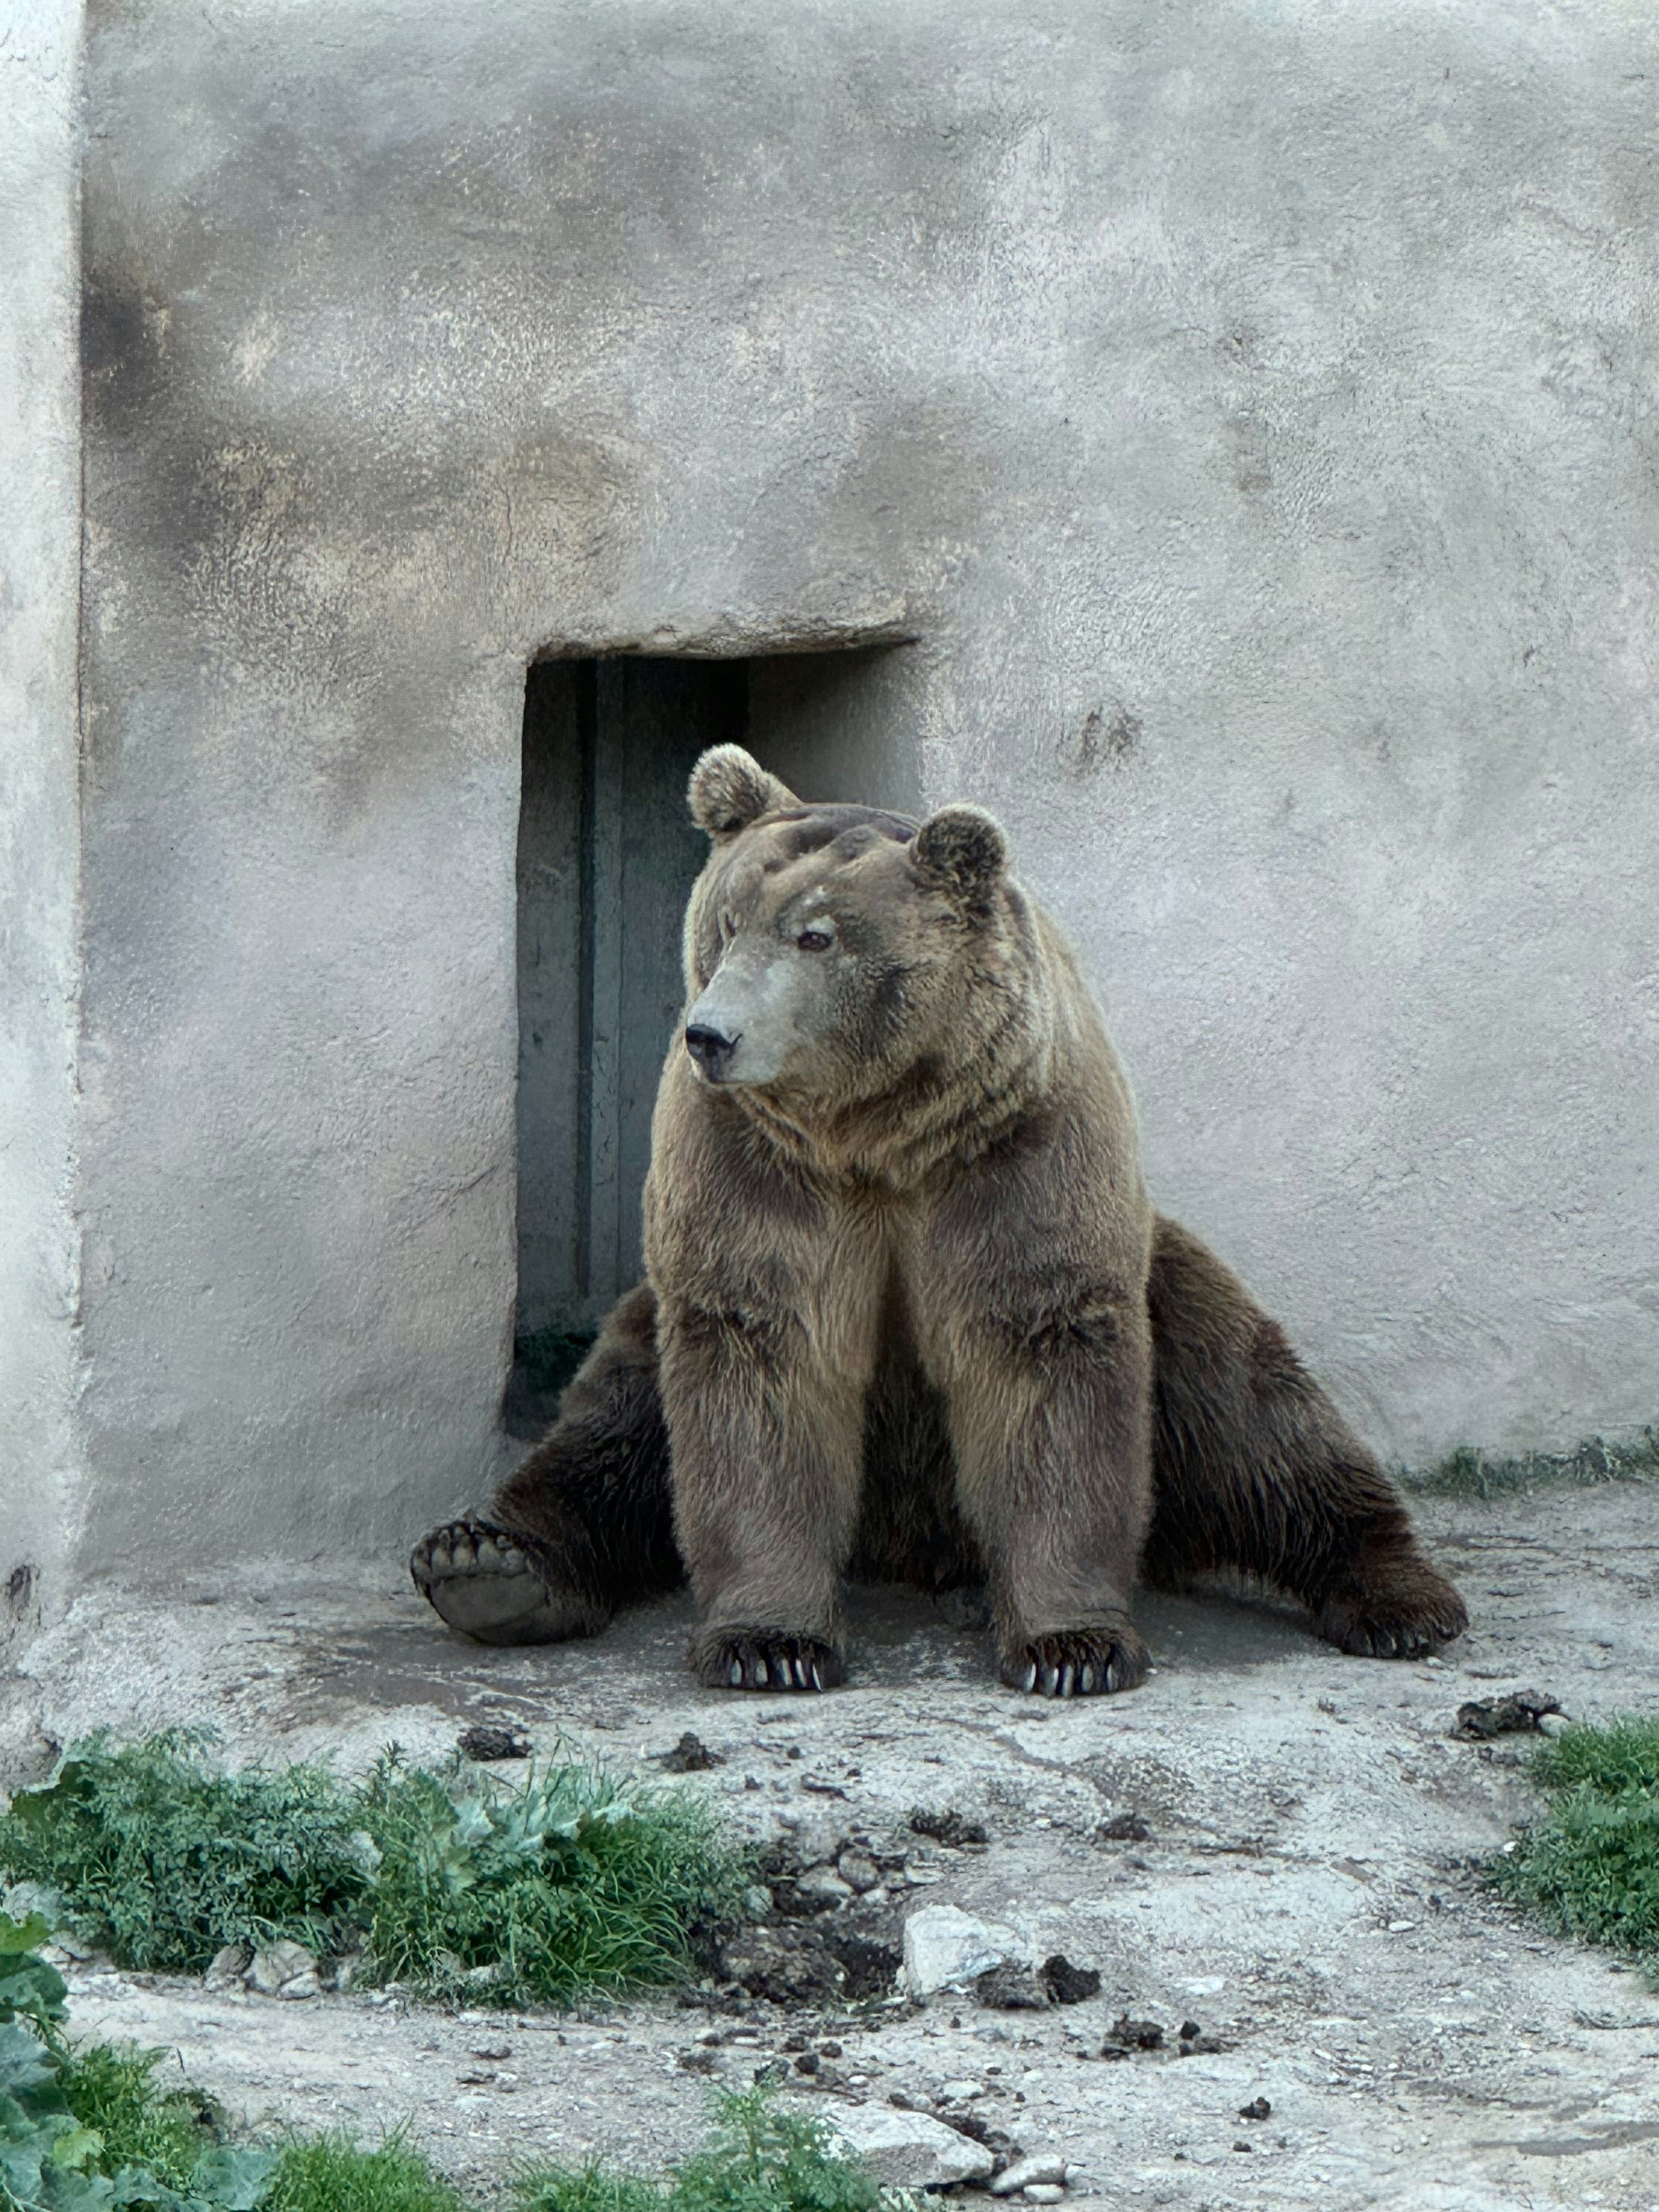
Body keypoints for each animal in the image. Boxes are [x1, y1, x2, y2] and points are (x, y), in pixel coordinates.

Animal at [411, 744, 1467, 1695]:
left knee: (1254, 1413)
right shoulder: (757, 1174)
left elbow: (1045, 1364)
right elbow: (759, 1369)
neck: (880, 1139)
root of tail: (911, 1548)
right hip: (647, 1309)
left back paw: (1400, 1598)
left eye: (818, 935)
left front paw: (1071, 1647)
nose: (711, 1035)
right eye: (727, 919)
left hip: (1166, 1277)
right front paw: (769, 1642)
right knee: (610, 1425)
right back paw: (488, 1565)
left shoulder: (1013, 1161)